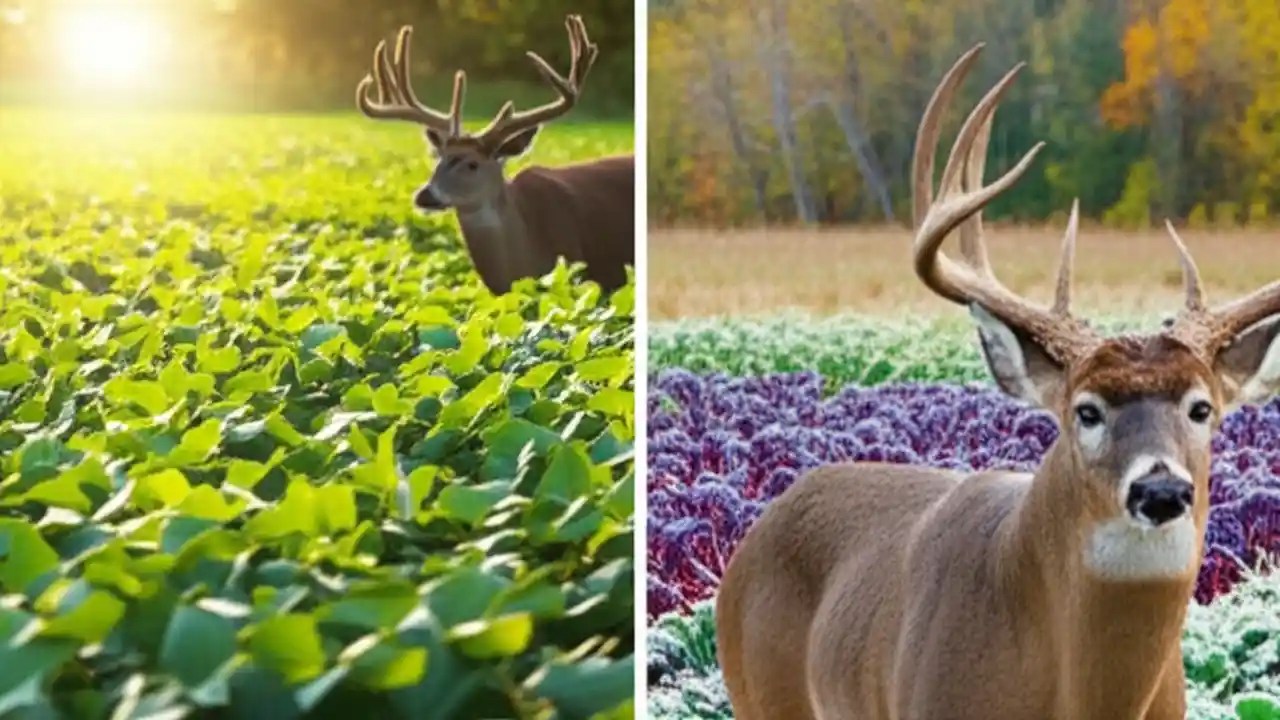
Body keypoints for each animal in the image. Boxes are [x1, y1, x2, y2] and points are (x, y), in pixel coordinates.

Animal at [716, 43, 1280, 720]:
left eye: (1201, 409)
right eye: (1086, 411)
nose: (1162, 489)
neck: (1085, 697)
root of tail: (761, 527)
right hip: (760, 693)